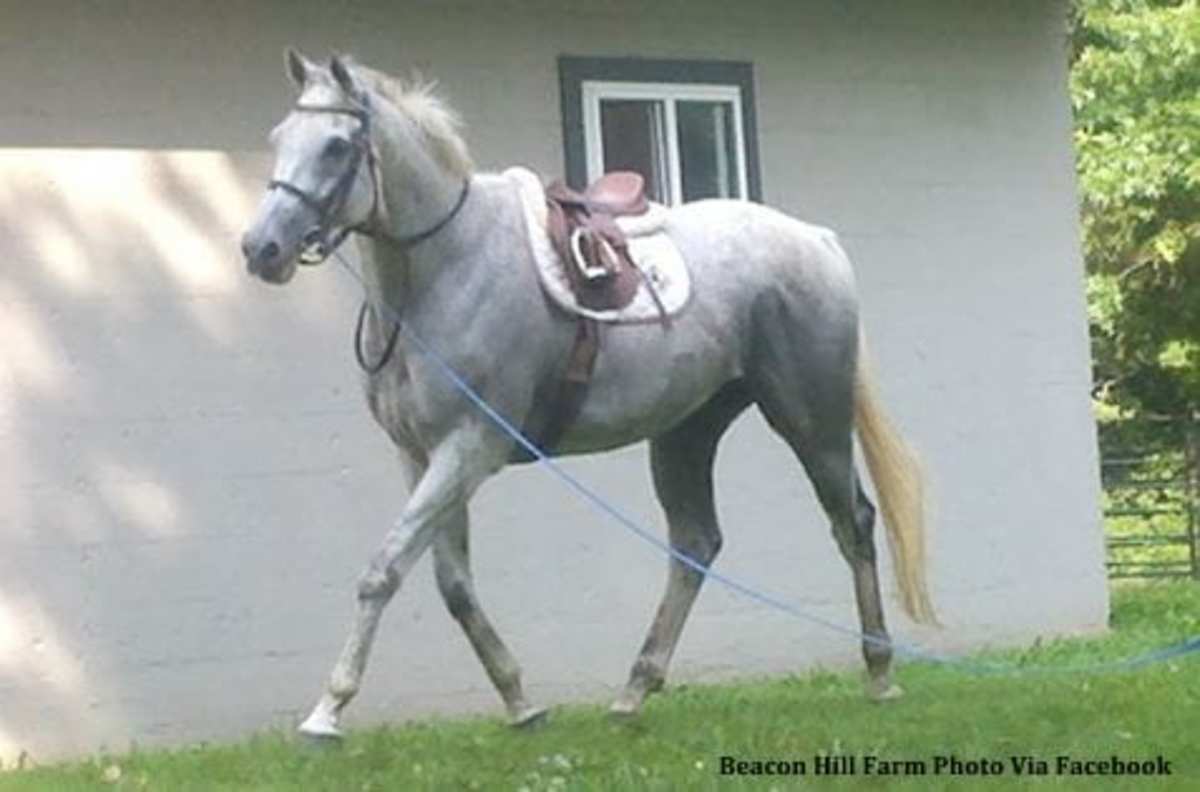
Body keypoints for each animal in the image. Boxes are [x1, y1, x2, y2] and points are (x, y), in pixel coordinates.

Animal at [240, 50, 936, 741]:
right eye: (279, 137)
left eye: (336, 145)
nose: (259, 248)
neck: (447, 266)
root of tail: (817, 240)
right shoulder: (420, 454)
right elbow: (451, 583)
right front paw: (519, 701)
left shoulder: (469, 447)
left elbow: (383, 569)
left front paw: (328, 709)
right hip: (686, 431)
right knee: (695, 543)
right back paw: (635, 689)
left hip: (811, 419)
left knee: (852, 521)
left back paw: (879, 672)